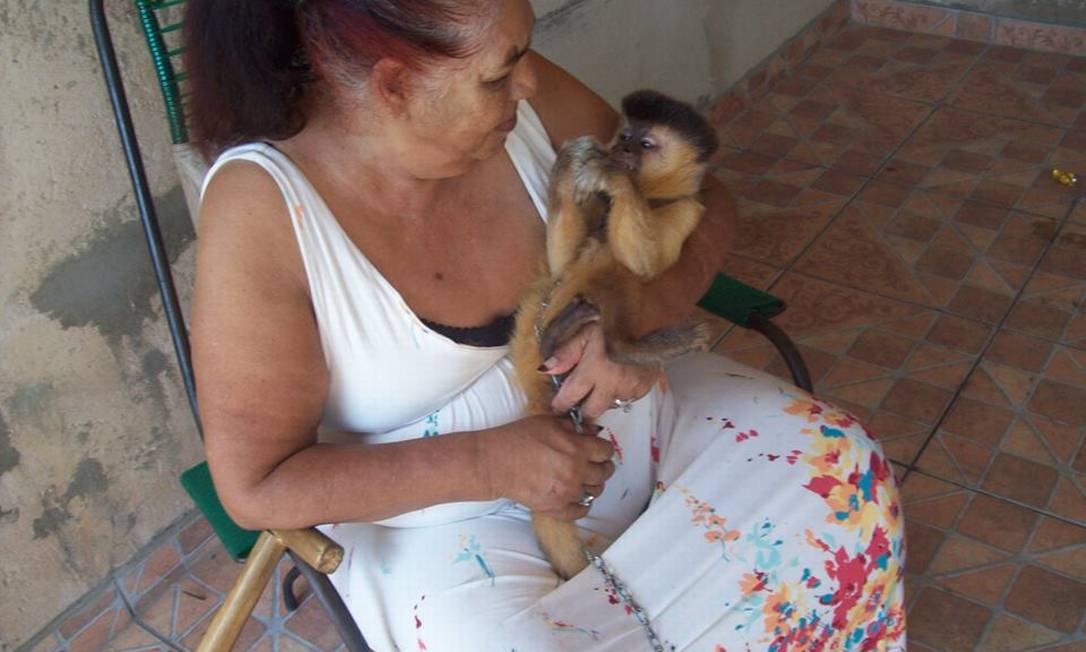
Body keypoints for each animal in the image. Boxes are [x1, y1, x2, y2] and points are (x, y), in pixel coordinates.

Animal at [510, 90, 720, 579]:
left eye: (644, 145)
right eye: (624, 136)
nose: (622, 151)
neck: (651, 197)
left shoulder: (689, 207)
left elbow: (645, 264)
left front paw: (611, 177)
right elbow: (563, 260)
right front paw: (571, 167)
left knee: (614, 277)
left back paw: (621, 348)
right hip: (531, 330)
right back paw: (561, 335)